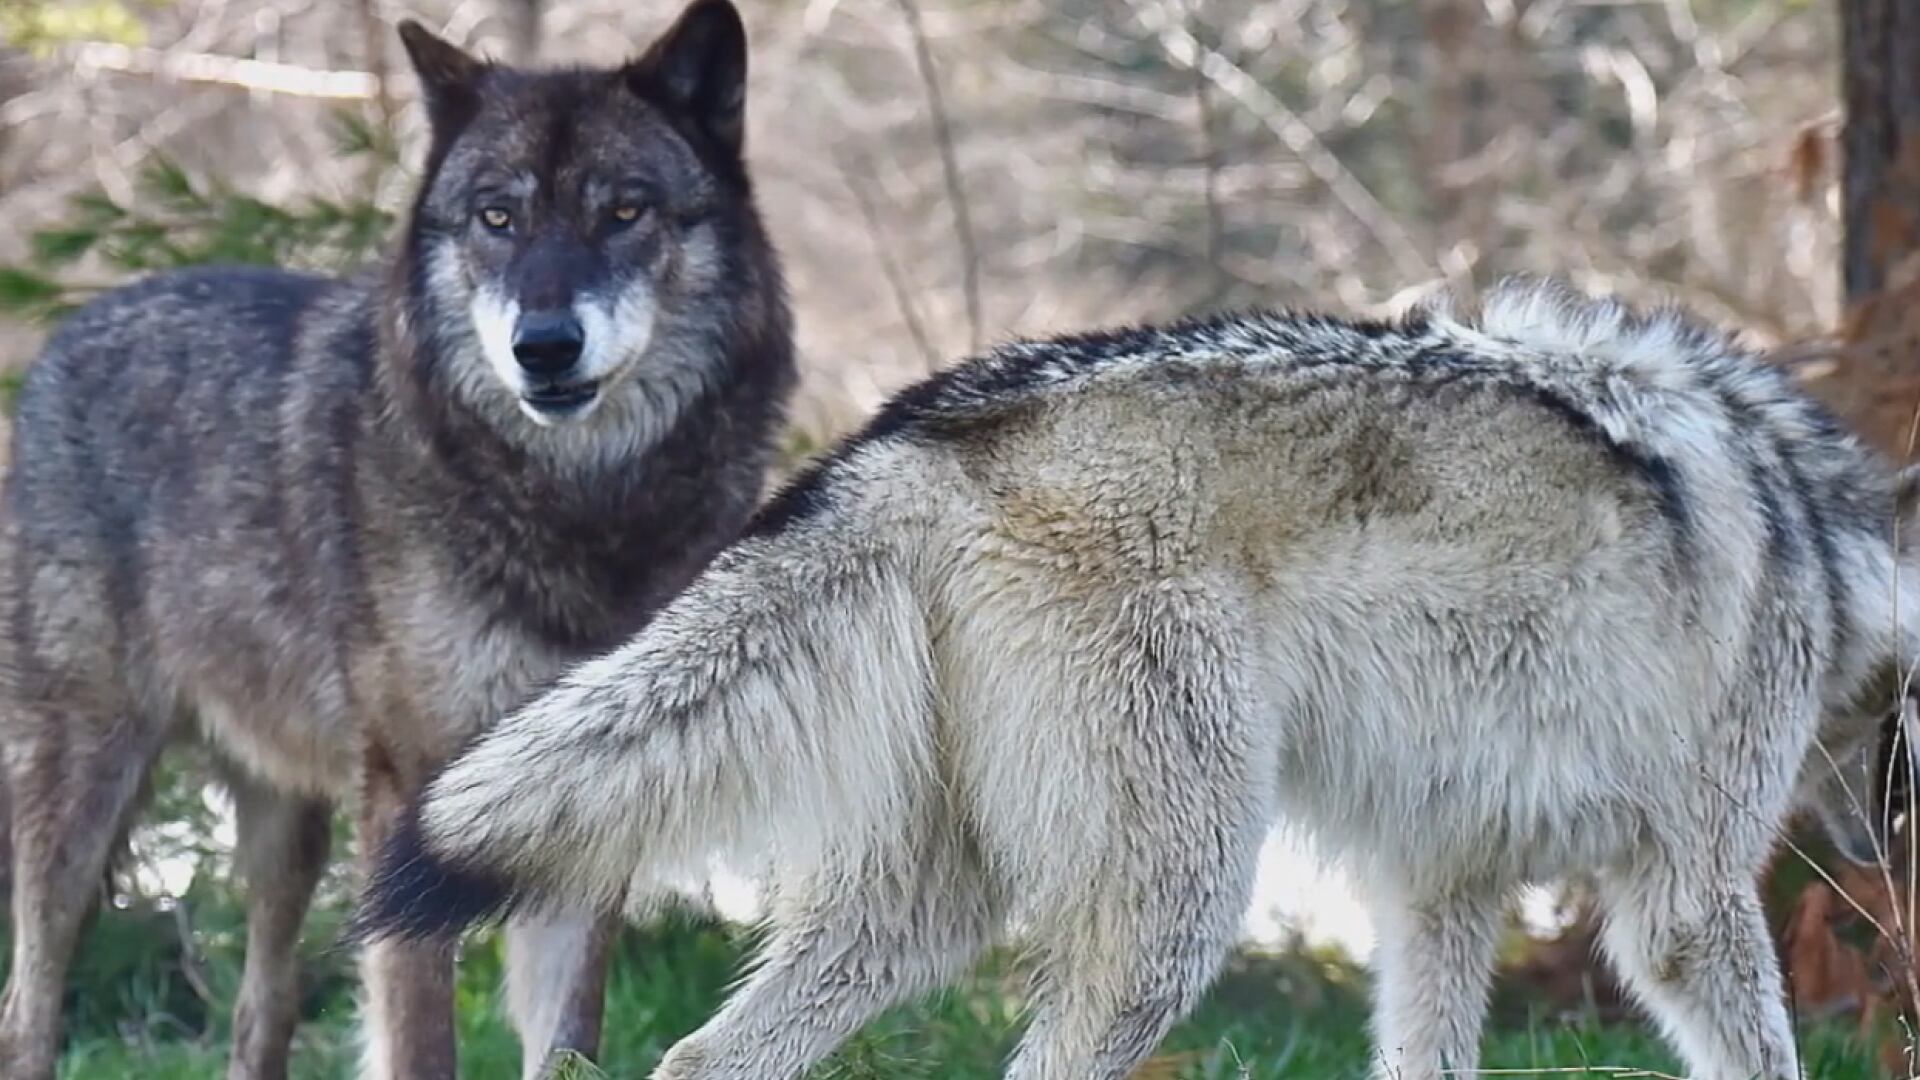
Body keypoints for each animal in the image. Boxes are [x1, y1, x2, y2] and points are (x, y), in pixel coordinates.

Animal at [0, 2, 794, 1078]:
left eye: (625, 211)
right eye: (497, 219)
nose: (544, 347)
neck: (575, 512)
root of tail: (67, 335)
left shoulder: (580, 796)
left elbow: (568, 1039)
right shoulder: (410, 797)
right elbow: (420, 1042)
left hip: (287, 827)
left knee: (261, 1009)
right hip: (85, 784)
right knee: (29, 1005)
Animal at [354, 280, 1920, 1080]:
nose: (1879, 865)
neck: (1821, 539)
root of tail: (919, 433)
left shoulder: (1438, 893)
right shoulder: (1684, 901)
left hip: (928, 911)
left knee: (697, 1061)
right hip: (1175, 911)